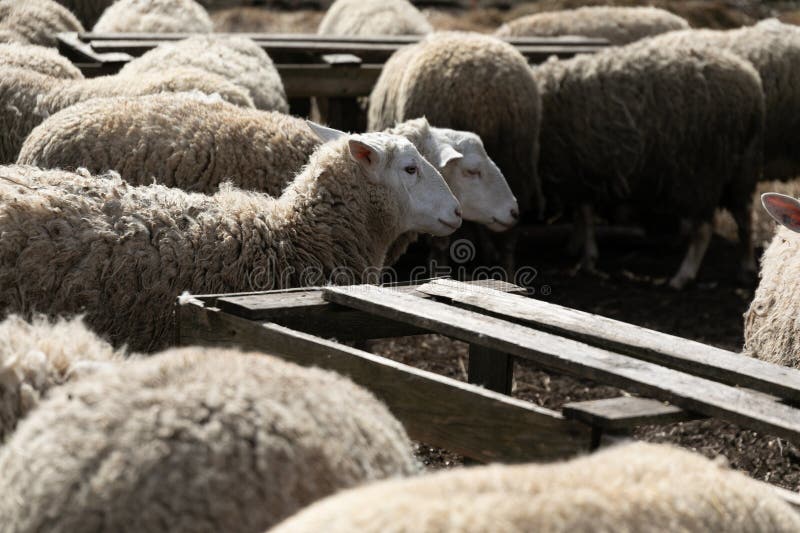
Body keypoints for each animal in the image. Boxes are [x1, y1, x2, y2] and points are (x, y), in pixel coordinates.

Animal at [532, 39, 764, 289]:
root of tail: (752, 85)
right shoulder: (585, 168)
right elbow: (581, 212)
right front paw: (576, 244)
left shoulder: (579, 166)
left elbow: (585, 213)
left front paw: (587, 257)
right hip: (740, 169)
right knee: (745, 218)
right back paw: (747, 268)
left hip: (702, 170)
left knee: (704, 229)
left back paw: (682, 276)